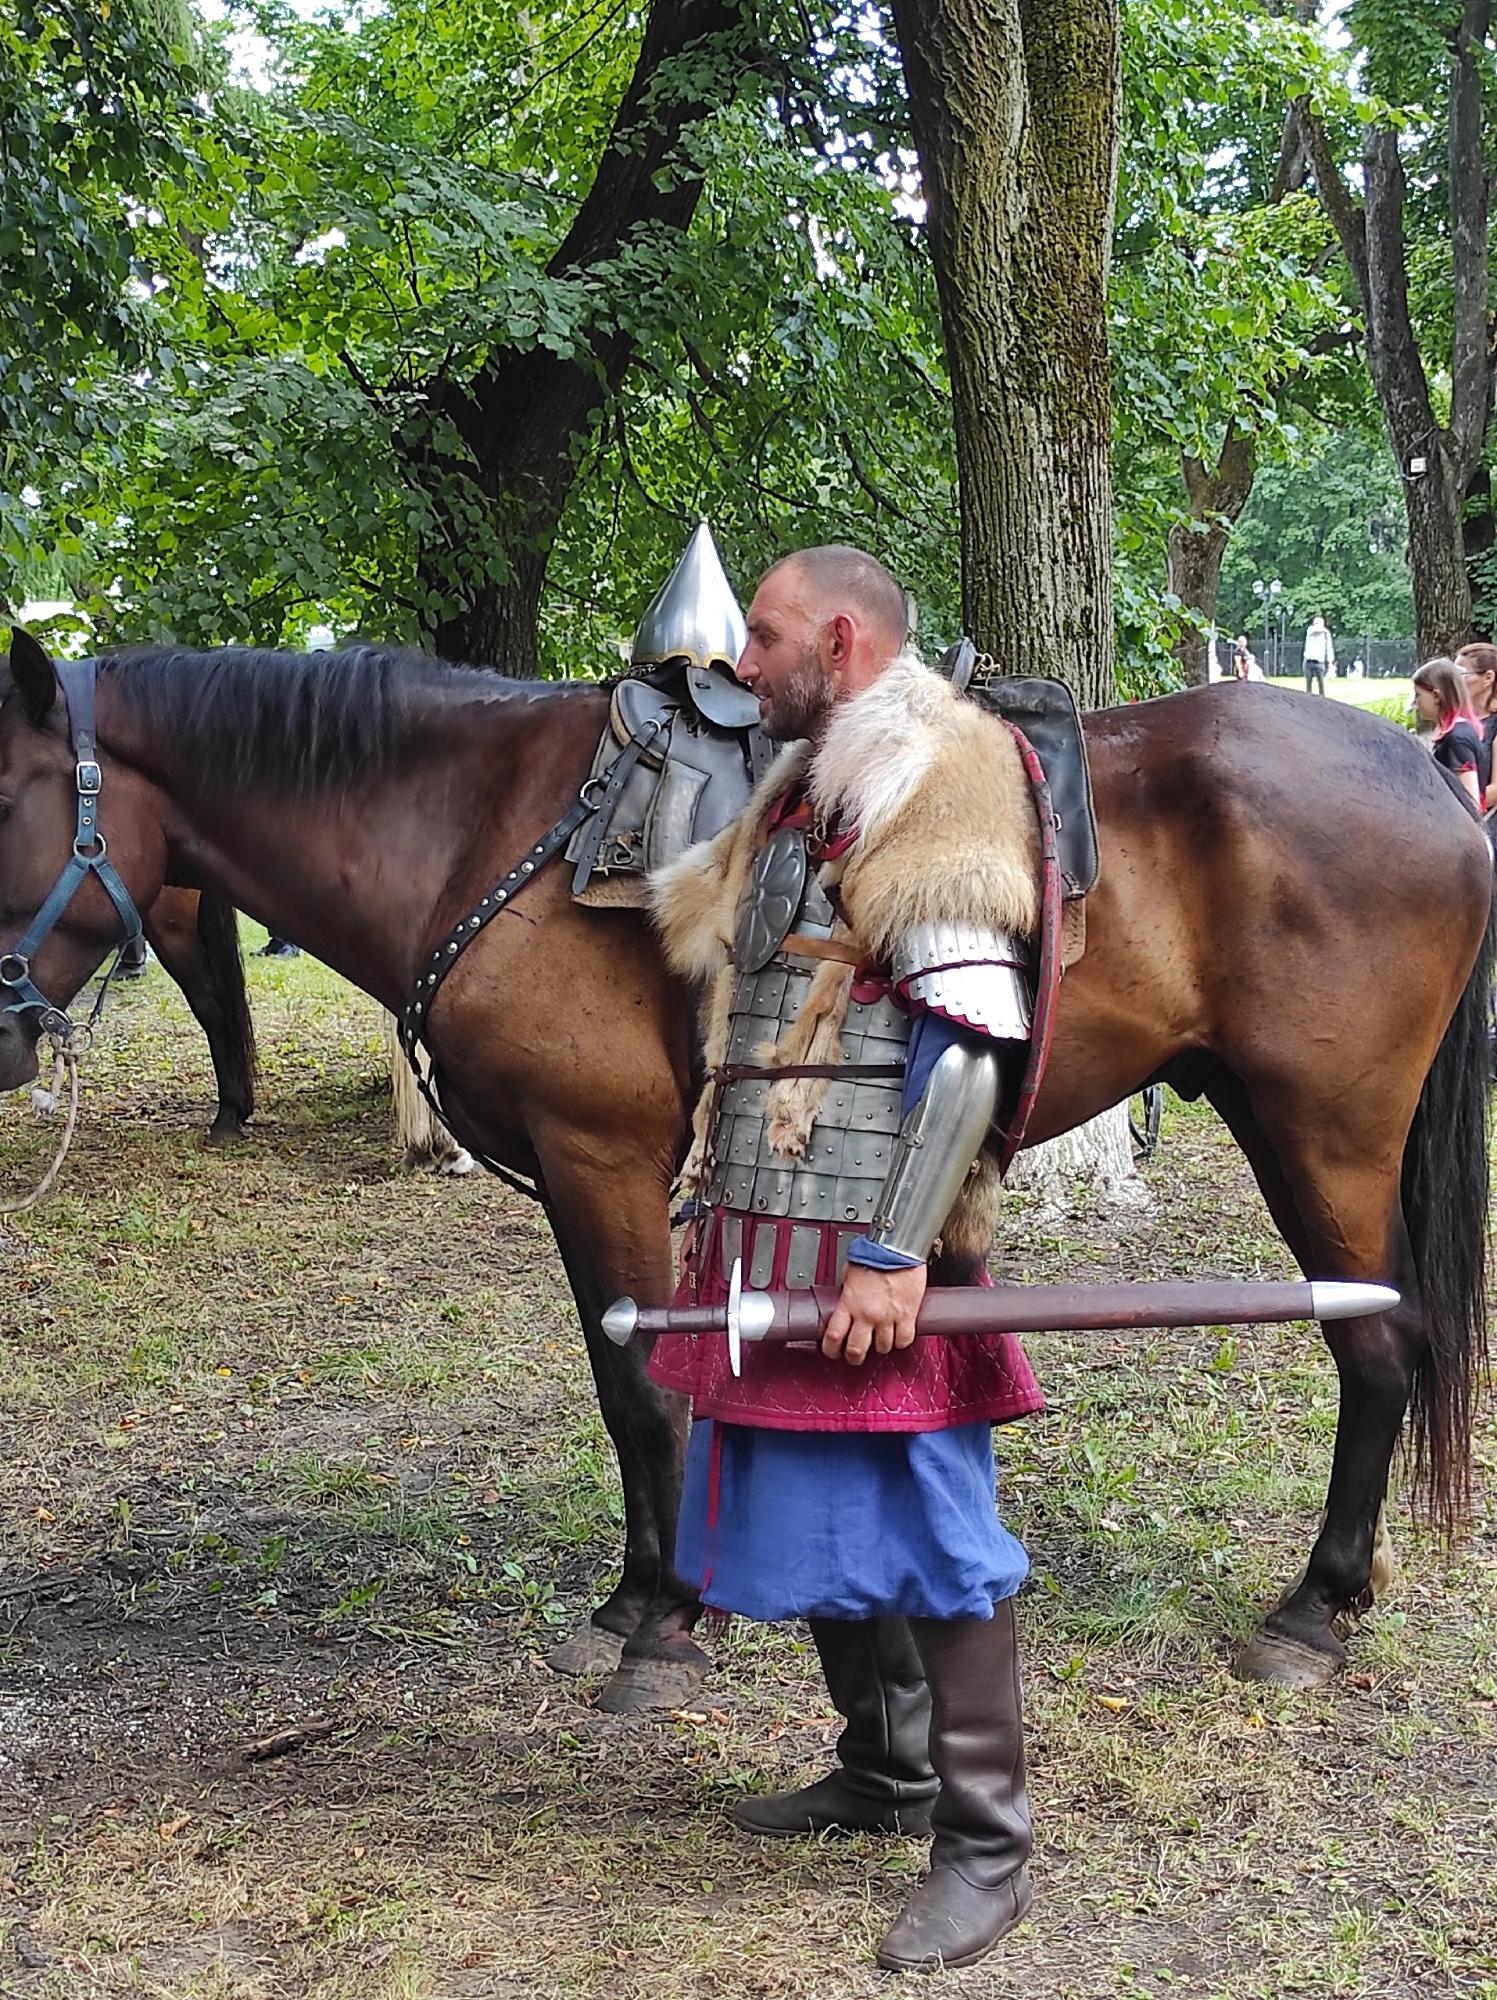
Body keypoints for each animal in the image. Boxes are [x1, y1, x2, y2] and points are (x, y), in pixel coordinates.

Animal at [0, 636, 1488, 1704]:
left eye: (3, 797)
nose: (3, 1031)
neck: (487, 820)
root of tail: (1428, 785)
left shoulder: (597, 1154)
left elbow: (643, 1395)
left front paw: (663, 1623)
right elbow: (633, 1385)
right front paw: (639, 1592)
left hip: (1324, 1137)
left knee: (1379, 1352)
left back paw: (1314, 1607)